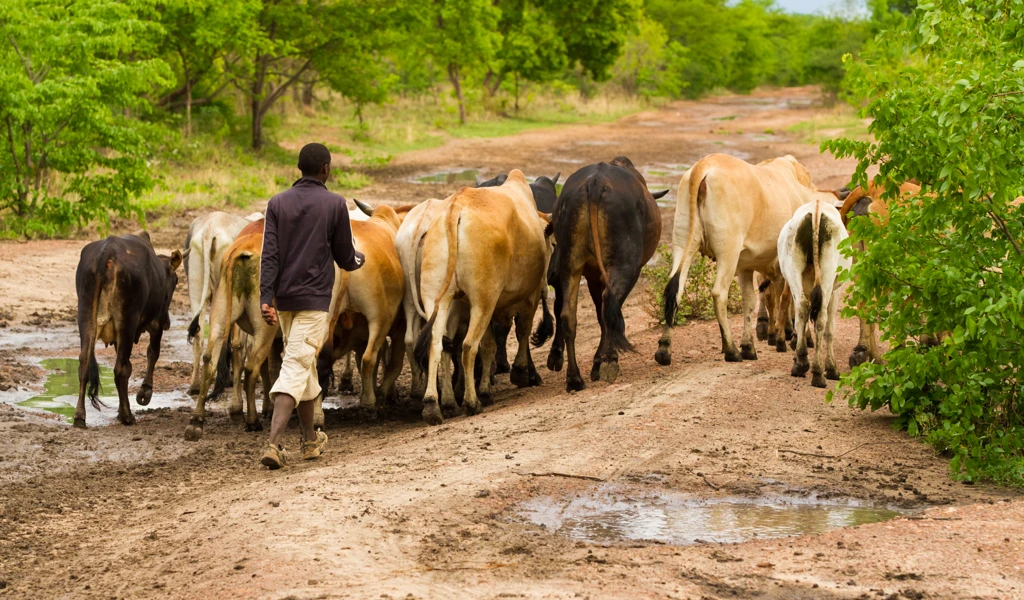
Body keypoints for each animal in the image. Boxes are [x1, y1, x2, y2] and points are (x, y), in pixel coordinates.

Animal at [74, 232, 182, 428]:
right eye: (176, 281)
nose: (168, 322)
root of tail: (107, 251)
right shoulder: (156, 322)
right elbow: (152, 353)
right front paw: (144, 393)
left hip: (85, 317)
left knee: (84, 364)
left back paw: (80, 417)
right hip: (127, 321)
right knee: (120, 369)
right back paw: (127, 416)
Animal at [413, 170, 551, 424]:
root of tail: (456, 207)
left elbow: (489, 345)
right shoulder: (529, 297)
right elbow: (521, 332)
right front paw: (521, 373)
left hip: (437, 297)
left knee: (436, 345)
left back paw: (432, 406)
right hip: (483, 300)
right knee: (468, 346)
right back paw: (471, 402)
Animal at [546, 157, 668, 391]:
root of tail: (595, 182)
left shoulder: (592, 276)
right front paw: (603, 361)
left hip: (571, 264)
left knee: (568, 315)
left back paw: (574, 378)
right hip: (625, 266)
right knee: (609, 305)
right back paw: (608, 361)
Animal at [656, 154, 844, 366]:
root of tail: (705, 164)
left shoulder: (746, 267)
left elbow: (750, 302)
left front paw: (749, 345)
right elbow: (789, 300)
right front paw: (788, 337)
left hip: (682, 243)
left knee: (675, 290)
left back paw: (664, 348)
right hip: (728, 252)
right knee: (719, 294)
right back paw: (731, 349)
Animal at [777, 198, 852, 387]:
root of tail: (817, 208)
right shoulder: (836, 290)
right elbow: (830, 329)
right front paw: (831, 368)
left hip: (794, 272)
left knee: (802, 309)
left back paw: (802, 364)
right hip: (827, 277)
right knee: (821, 318)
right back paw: (818, 371)